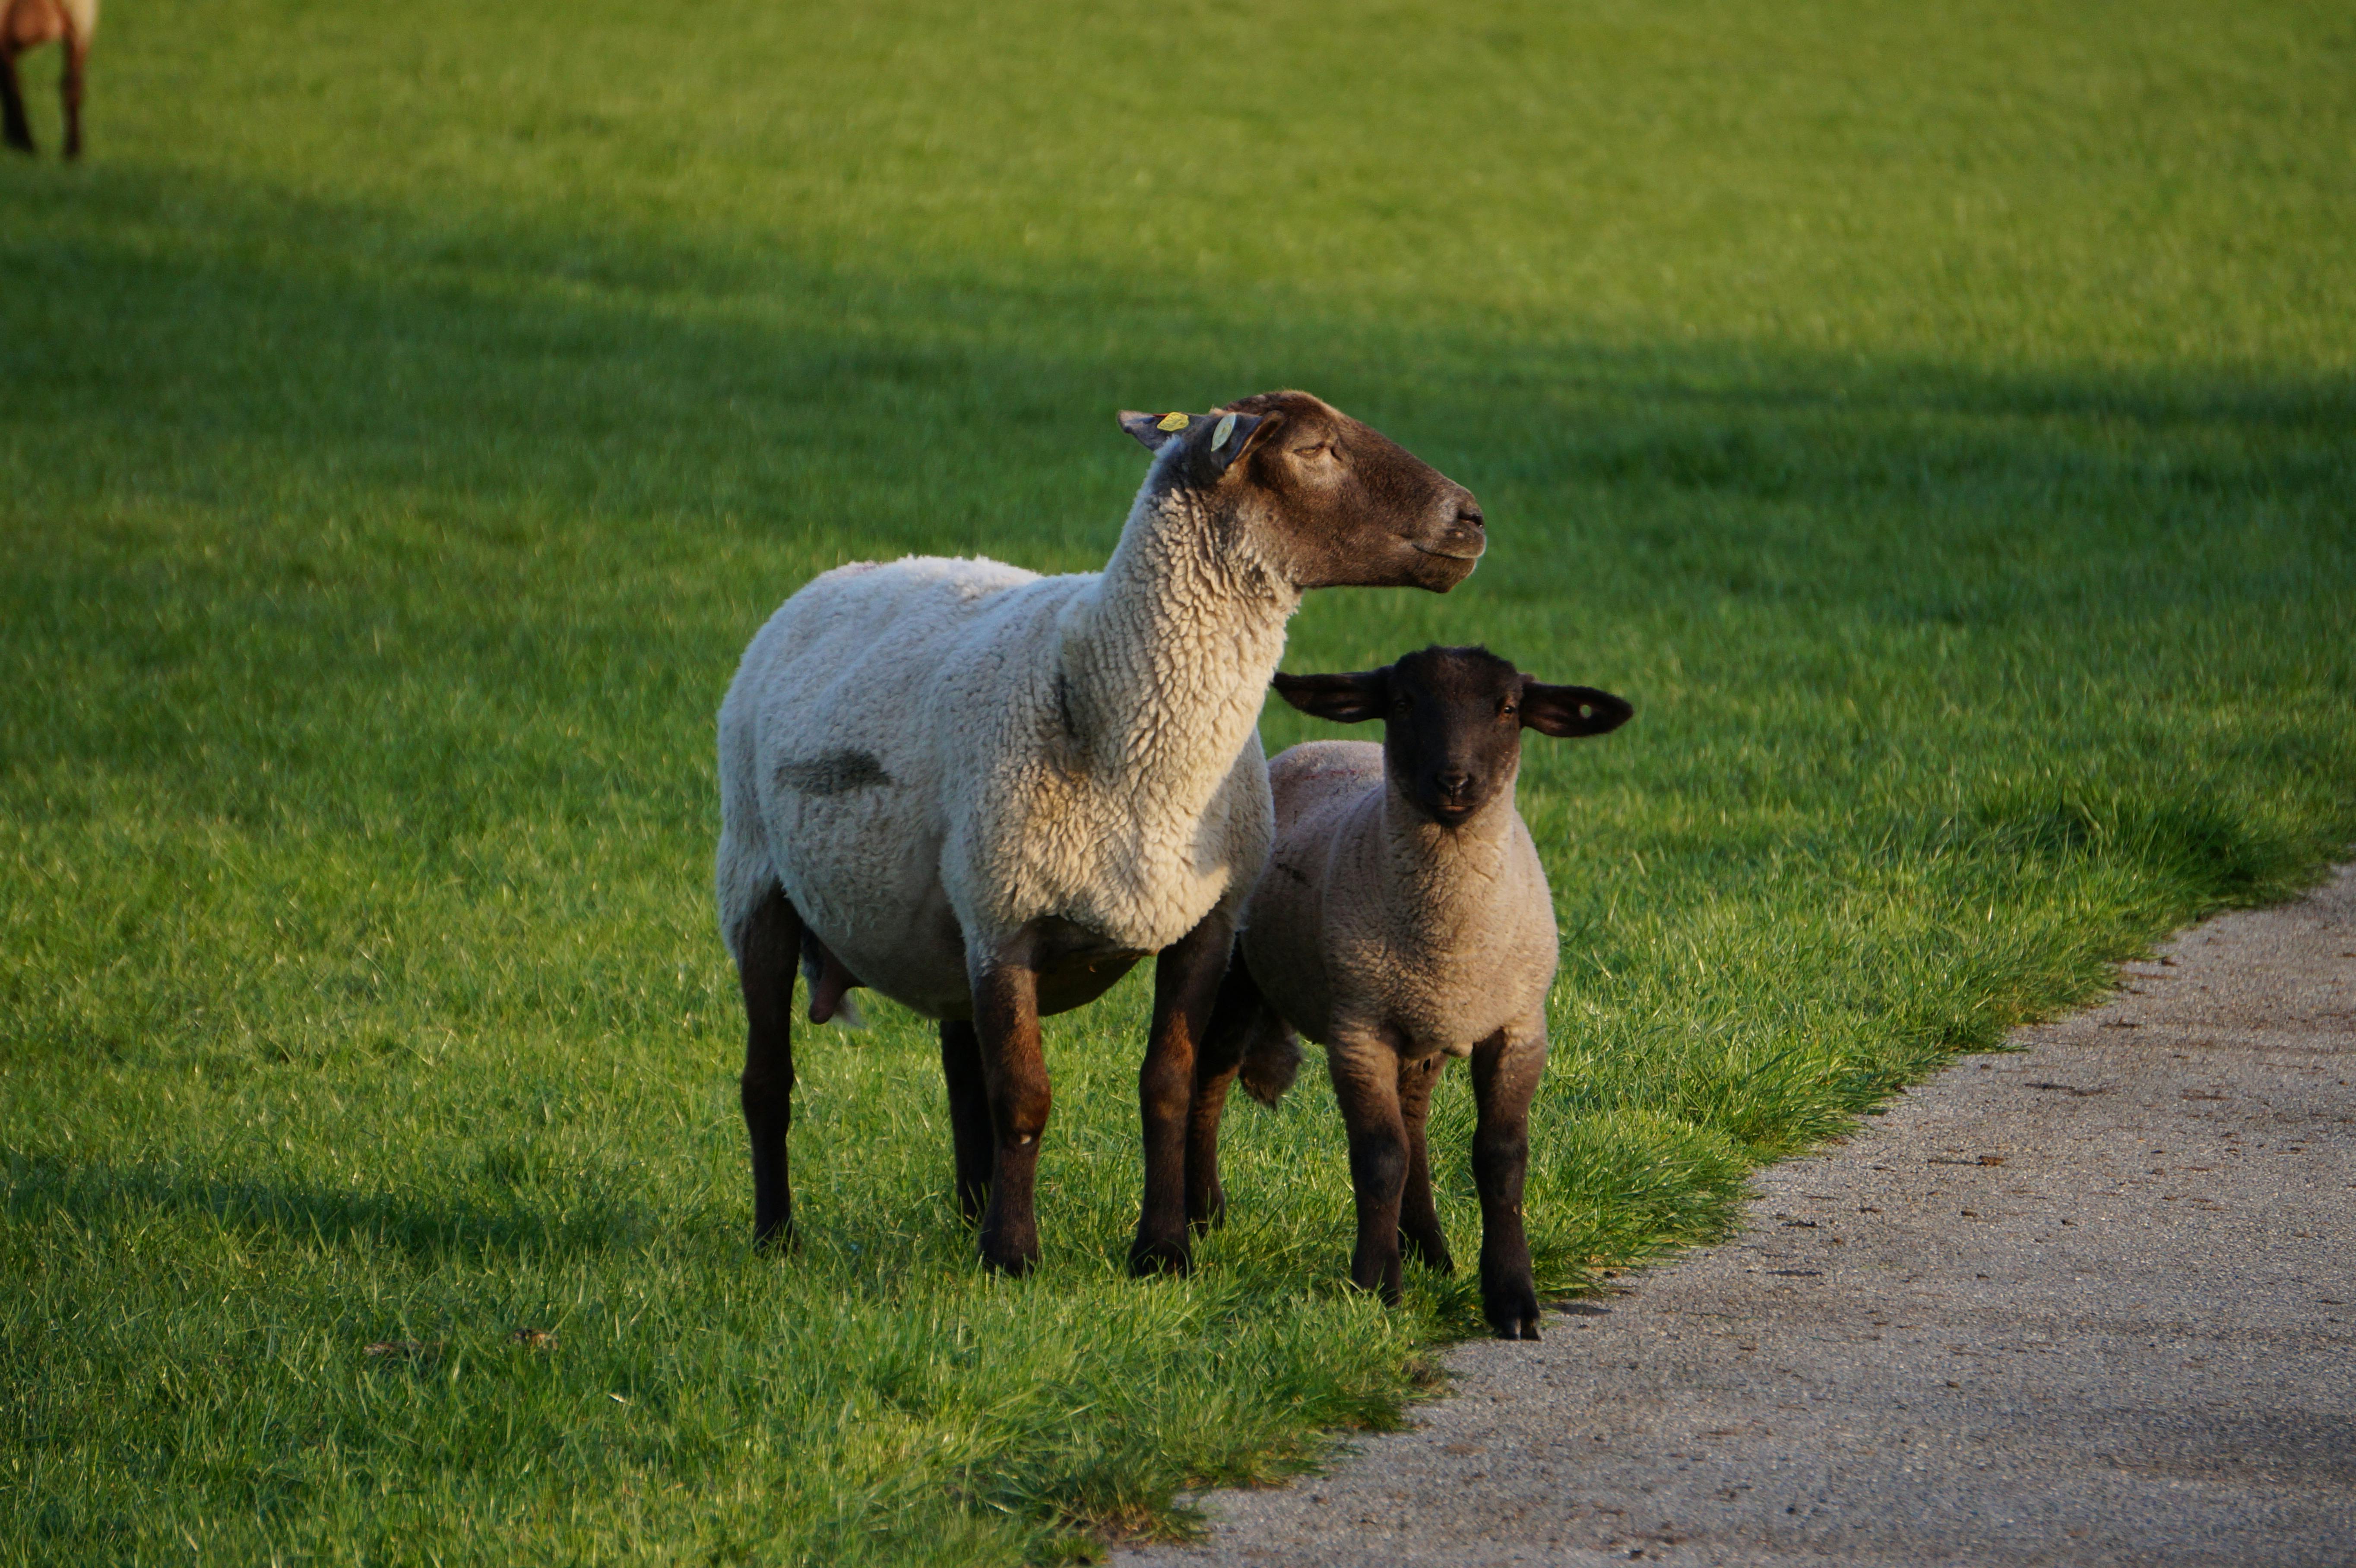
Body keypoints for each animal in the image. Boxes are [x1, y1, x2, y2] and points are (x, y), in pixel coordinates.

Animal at [715, 391, 1488, 1275]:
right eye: (1316, 450)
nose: (1471, 518)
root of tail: (838, 575)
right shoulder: (1006, 920)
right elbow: (1024, 1096)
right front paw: (1013, 1257)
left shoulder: (1204, 922)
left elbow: (1166, 1085)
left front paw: (1162, 1250)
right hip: (756, 879)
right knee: (767, 1080)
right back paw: (777, 1235)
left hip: (944, 918)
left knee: (959, 1068)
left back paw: (968, 1208)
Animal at [1187, 645, 1632, 1339]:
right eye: (1401, 702)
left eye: (1508, 707)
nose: (1454, 781)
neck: (1449, 938)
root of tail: (1313, 744)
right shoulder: (1358, 1028)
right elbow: (1378, 1157)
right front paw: (1375, 1288)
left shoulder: (1517, 1027)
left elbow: (1500, 1158)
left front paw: (1511, 1299)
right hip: (1241, 971)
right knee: (1212, 1073)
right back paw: (1204, 1215)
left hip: (1420, 1026)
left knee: (1415, 1118)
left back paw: (1431, 1249)